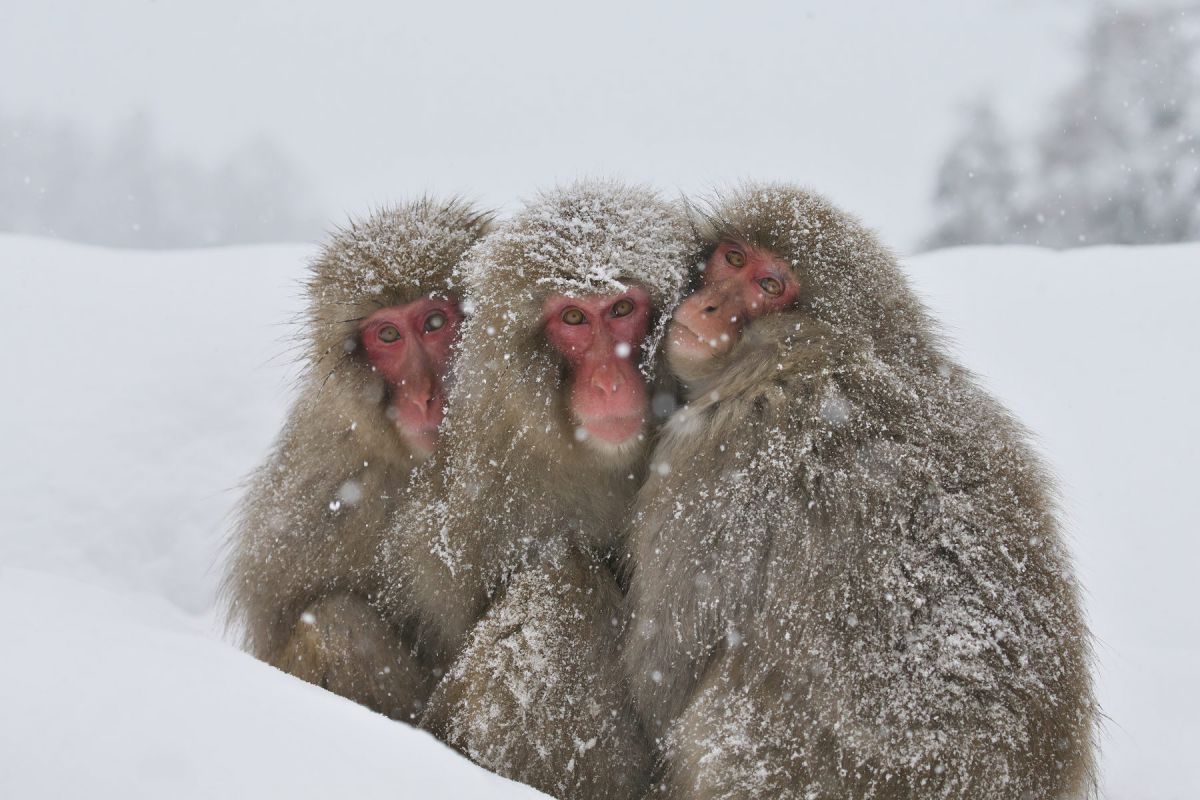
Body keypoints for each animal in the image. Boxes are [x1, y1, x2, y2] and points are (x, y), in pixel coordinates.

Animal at [621, 184, 1097, 799]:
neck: (815, 355)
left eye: (769, 286)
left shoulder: (724, 460)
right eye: (732, 258)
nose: (708, 307)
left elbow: (666, 669)